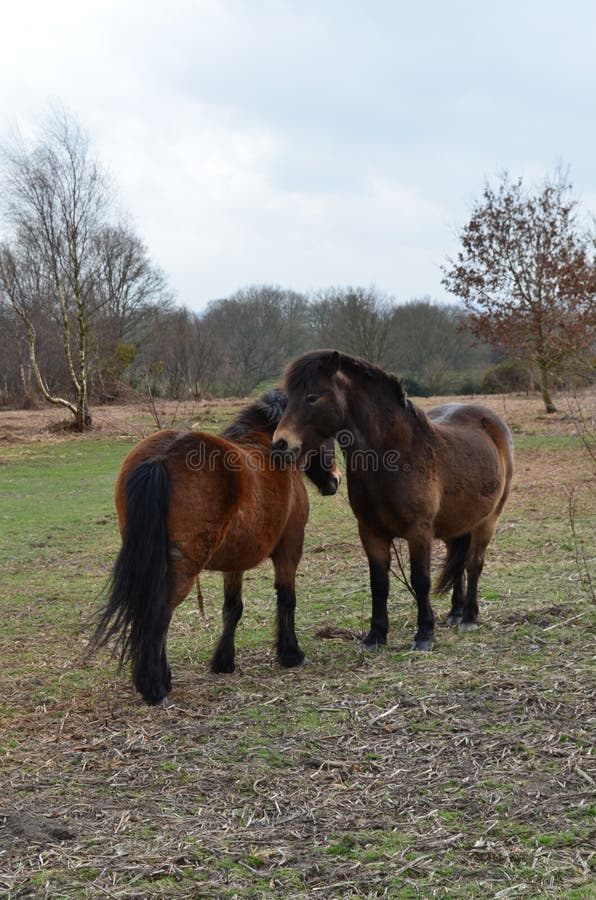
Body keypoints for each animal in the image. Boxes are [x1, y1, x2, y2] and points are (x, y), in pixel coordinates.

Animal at [90, 389, 341, 705]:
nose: (335, 480)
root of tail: (162, 456)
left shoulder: (235, 562)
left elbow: (232, 608)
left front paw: (224, 661)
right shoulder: (290, 548)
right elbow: (286, 599)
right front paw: (291, 654)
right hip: (183, 569)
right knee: (159, 613)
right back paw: (154, 688)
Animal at [271, 350, 514, 652]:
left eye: (312, 396)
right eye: (289, 397)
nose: (280, 444)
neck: (395, 456)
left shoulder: (419, 532)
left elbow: (420, 580)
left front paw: (424, 634)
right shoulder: (371, 532)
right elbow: (379, 582)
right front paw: (375, 635)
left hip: (488, 520)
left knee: (473, 563)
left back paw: (469, 617)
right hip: (455, 524)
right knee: (458, 563)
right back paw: (456, 613)